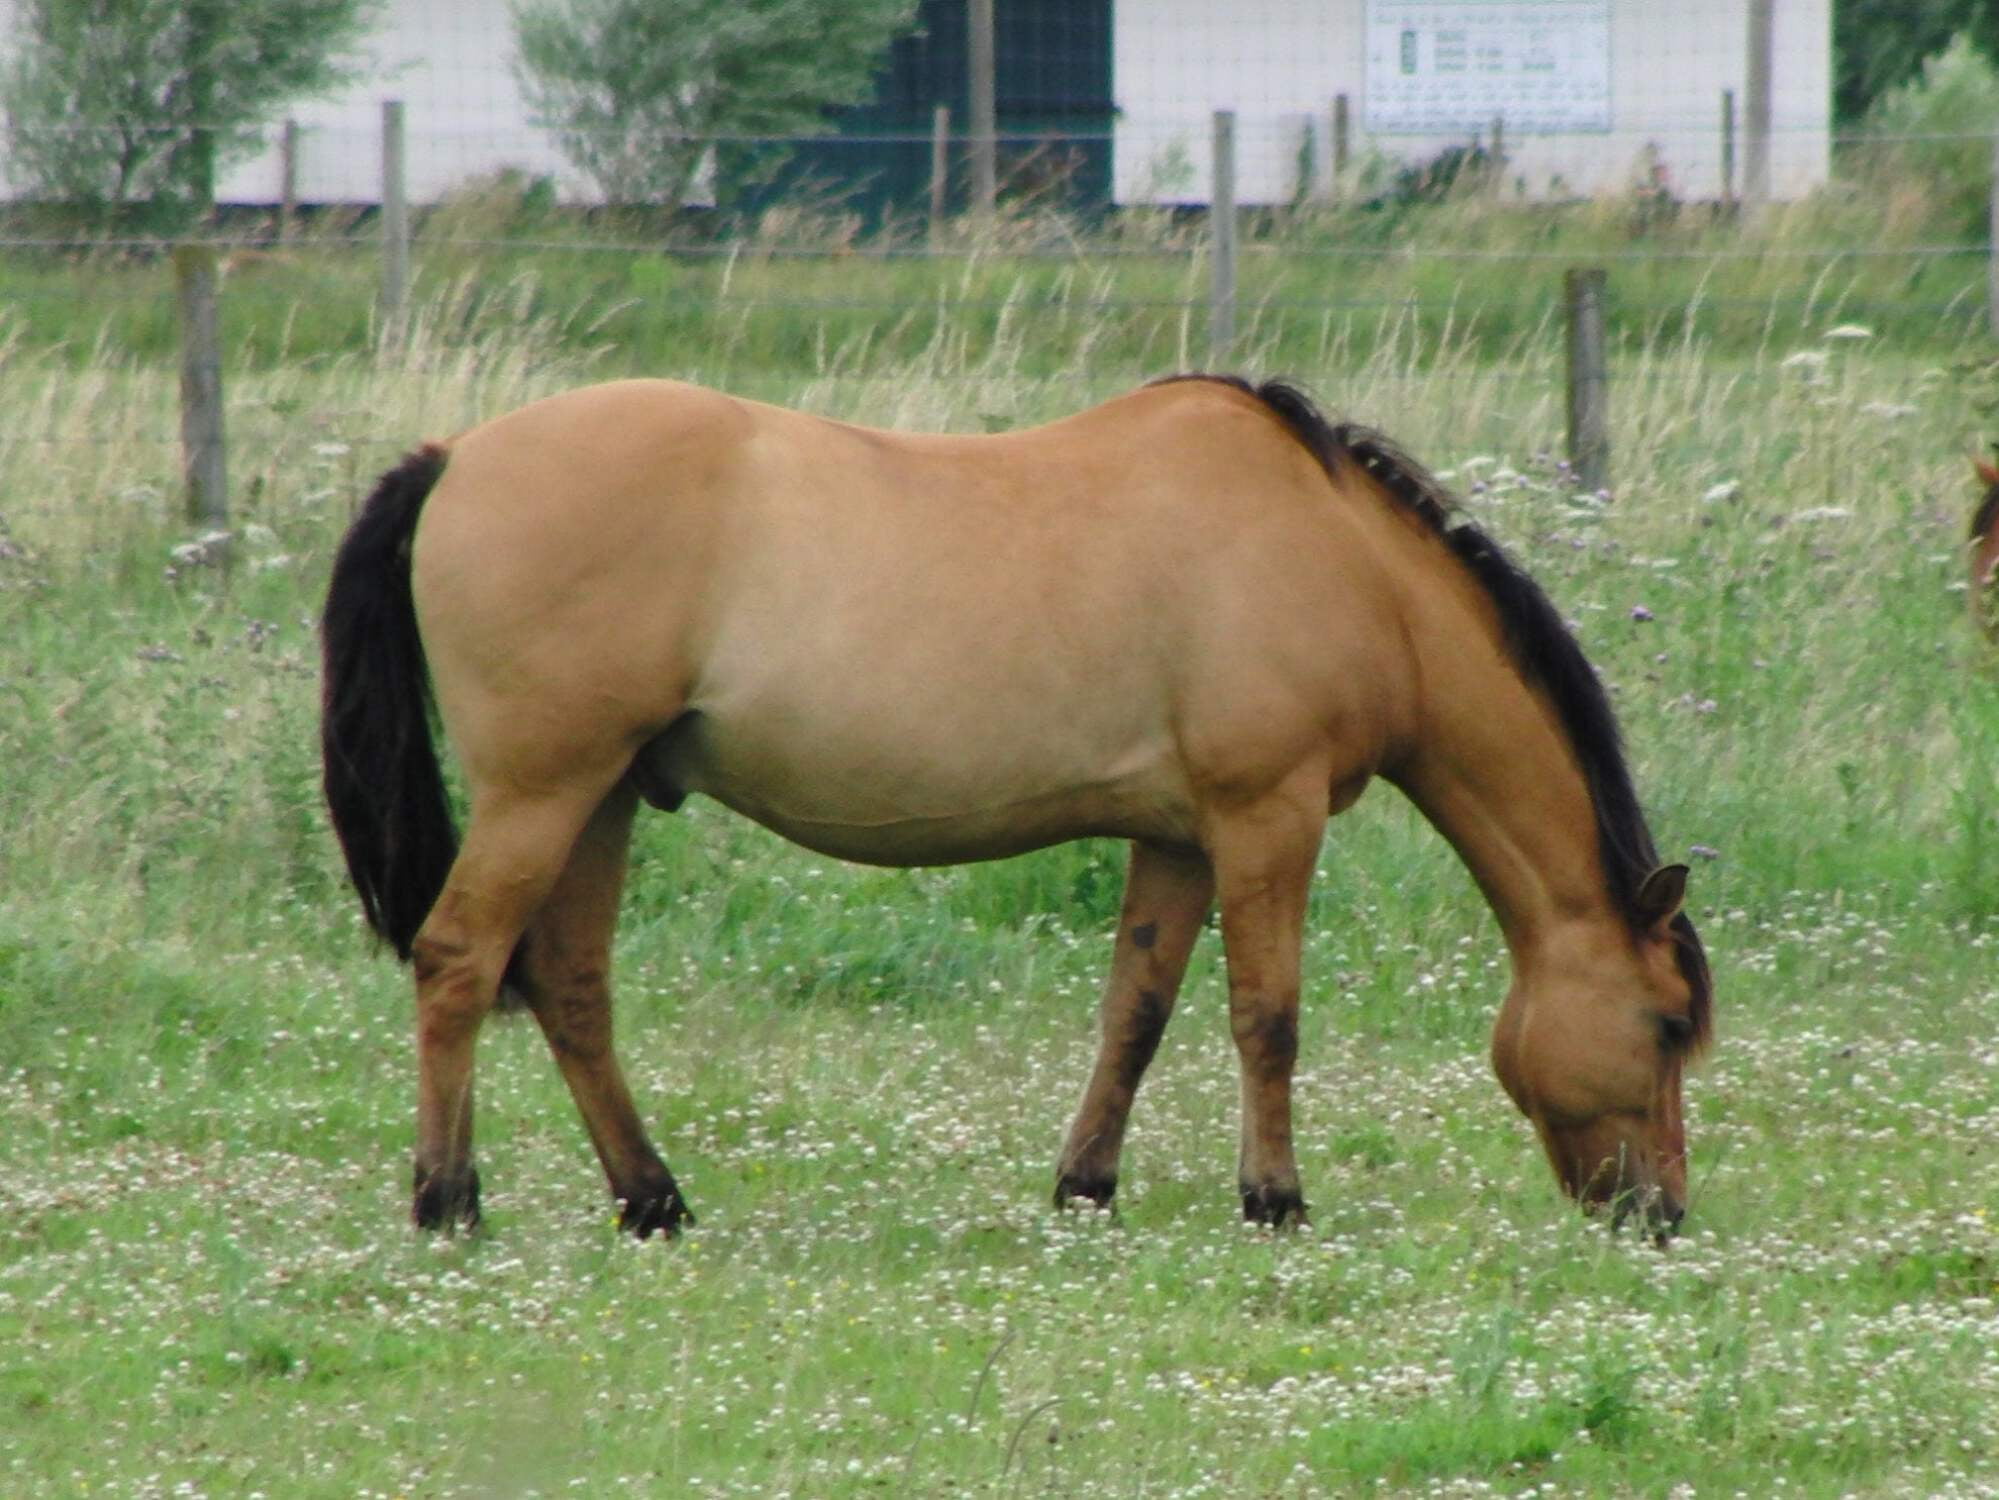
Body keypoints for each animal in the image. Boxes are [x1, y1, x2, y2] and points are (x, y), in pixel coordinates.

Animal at [320, 374, 1712, 1241]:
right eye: (1661, 1025)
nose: (1660, 1215)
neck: (1341, 557)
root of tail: (454, 459)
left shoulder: (1176, 838)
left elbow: (1135, 1013)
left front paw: (1085, 1186)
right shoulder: (1267, 817)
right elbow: (1265, 1019)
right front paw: (1273, 1198)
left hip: (604, 794)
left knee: (567, 986)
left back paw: (652, 1199)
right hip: (542, 792)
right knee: (459, 962)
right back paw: (448, 1200)